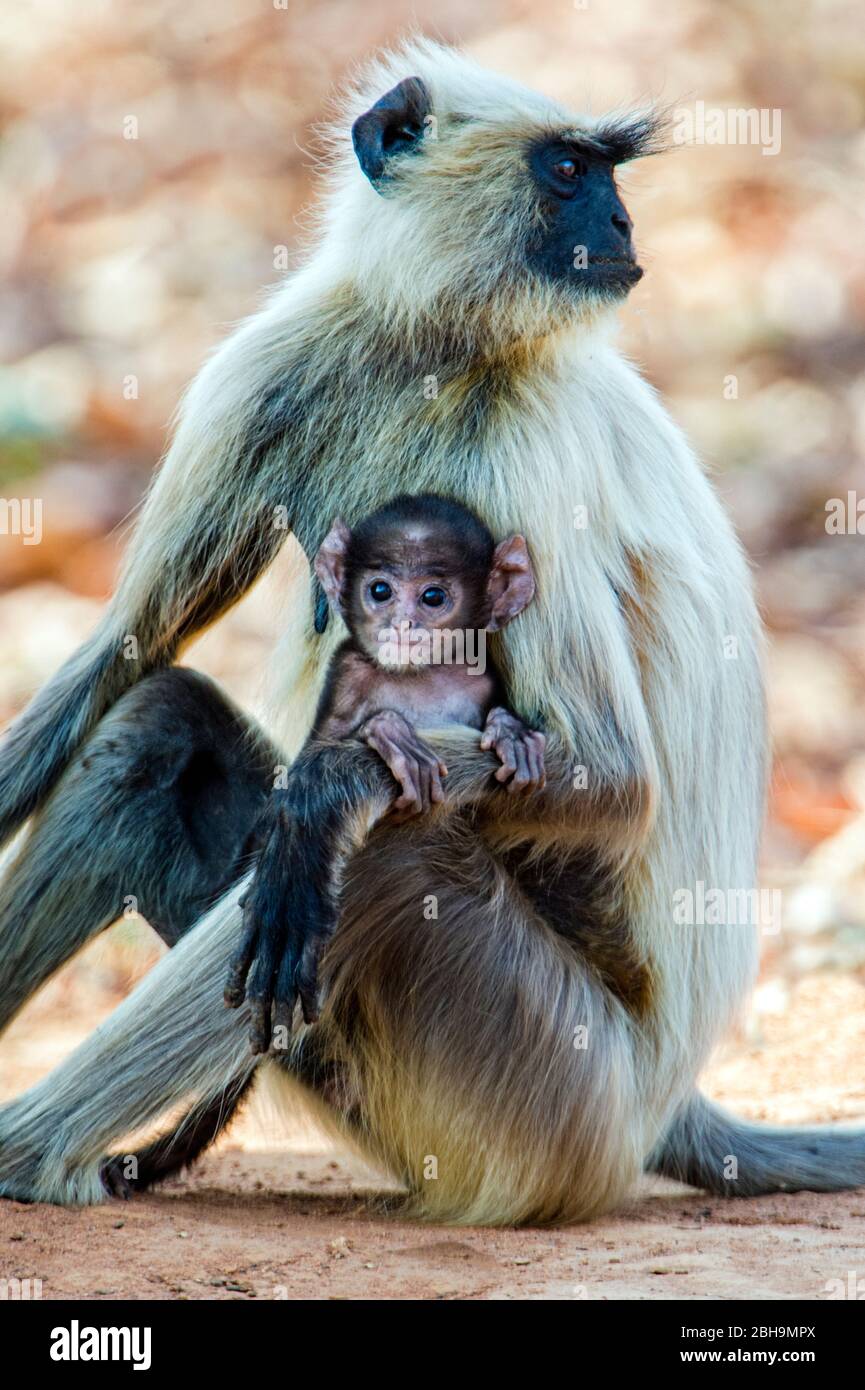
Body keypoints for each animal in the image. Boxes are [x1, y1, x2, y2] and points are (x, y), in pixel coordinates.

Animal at [224, 492, 546, 1051]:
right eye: (380, 591)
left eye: (433, 597)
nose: (400, 625)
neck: (418, 679)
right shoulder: (347, 674)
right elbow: (296, 783)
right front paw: (388, 732)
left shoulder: (481, 680)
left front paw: (508, 732)